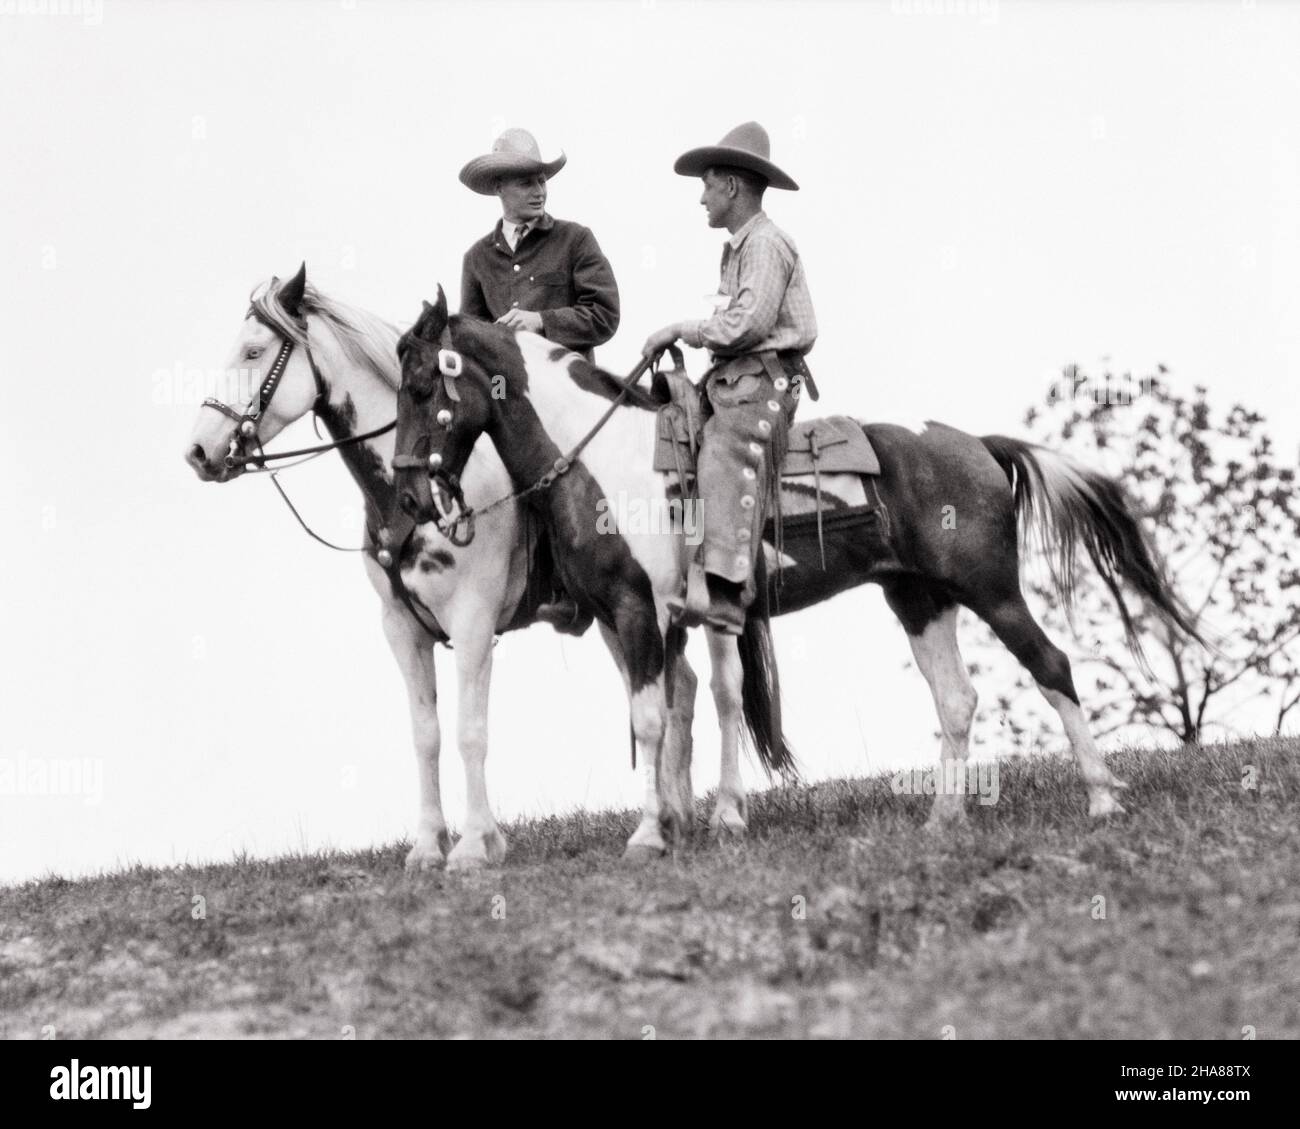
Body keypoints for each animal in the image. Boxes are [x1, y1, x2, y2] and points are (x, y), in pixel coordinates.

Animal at [392, 289, 1201, 846]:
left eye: (423, 385)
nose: (407, 494)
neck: (603, 459)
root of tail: (978, 445)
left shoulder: (637, 610)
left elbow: (653, 718)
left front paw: (650, 835)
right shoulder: (636, 622)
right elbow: (673, 713)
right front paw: (683, 823)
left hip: (992, 589)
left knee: (1051, 665)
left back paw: (1102, 796)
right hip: (920, 598)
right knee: (957, 699)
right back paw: (944, 816)